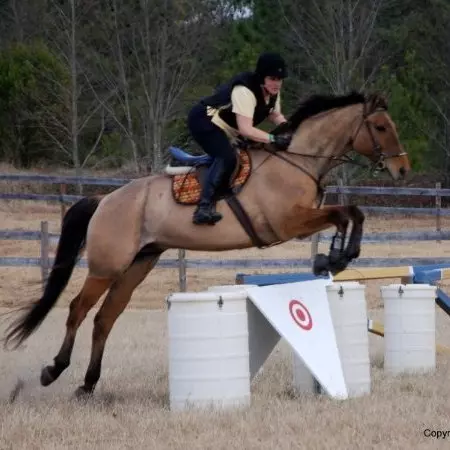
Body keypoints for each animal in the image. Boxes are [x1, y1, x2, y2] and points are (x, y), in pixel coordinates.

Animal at [2, 90, 412, 398]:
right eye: (380, 126)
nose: (403, 170)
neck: (296, 161)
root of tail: (105, 200)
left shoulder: (304, 218)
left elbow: (351, 212)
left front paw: (336, 257)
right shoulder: (287, 223)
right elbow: (344, 215)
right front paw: (333, 258)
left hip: (139, 264)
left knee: (105, 317)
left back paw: (88, 384)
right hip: (107, 266)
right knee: (77, 310)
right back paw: (53, 371)